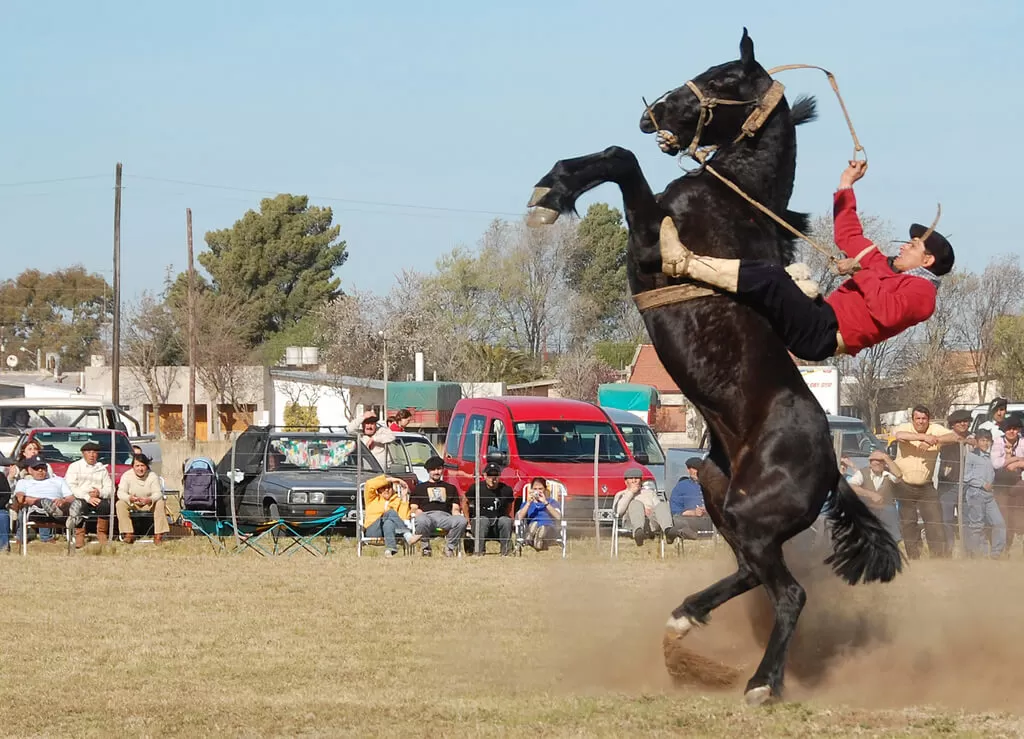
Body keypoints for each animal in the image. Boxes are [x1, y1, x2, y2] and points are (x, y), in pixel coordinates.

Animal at [524, 27, 901, 704]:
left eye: (724, 77)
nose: (652, 114)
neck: (731, 199)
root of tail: (836, 472)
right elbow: (616, 159)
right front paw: (552, 186)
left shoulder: (649, 237)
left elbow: (622, 161)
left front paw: (552, 193)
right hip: (717, 492)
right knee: (752, 572)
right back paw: (685, 618)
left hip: (752, 514)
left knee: (788, 592)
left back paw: (761, 683)